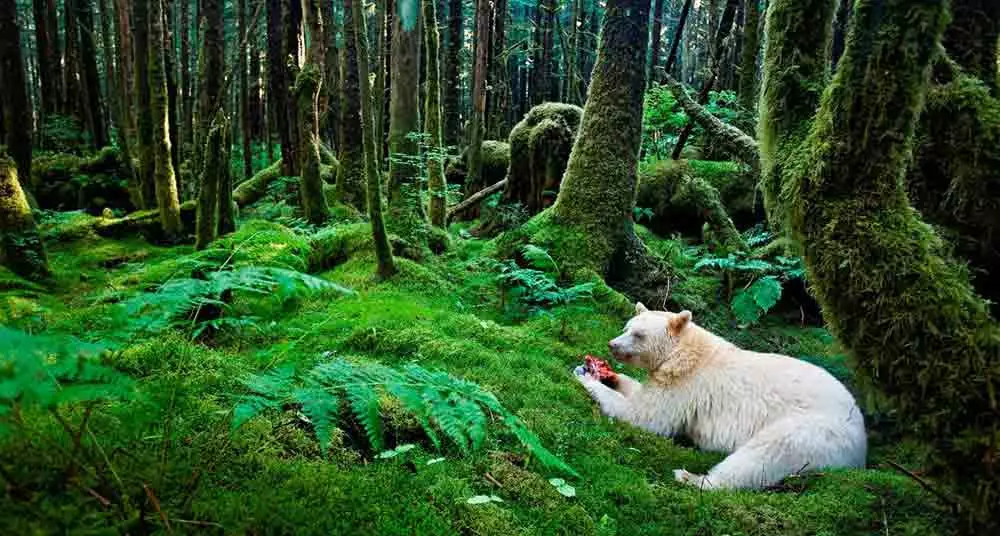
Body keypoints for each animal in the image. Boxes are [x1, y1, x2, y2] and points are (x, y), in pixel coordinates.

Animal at [580, 302, 868, 490]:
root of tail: (861, 447)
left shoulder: (687, 385)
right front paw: (608, 375)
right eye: (626, 327)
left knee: (765, 455)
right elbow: (640, 393)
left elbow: (647, 417)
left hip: (815, 432)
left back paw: (692, 478)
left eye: (638, 334)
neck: (686, 353)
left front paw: (587, 379)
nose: (612, 345)